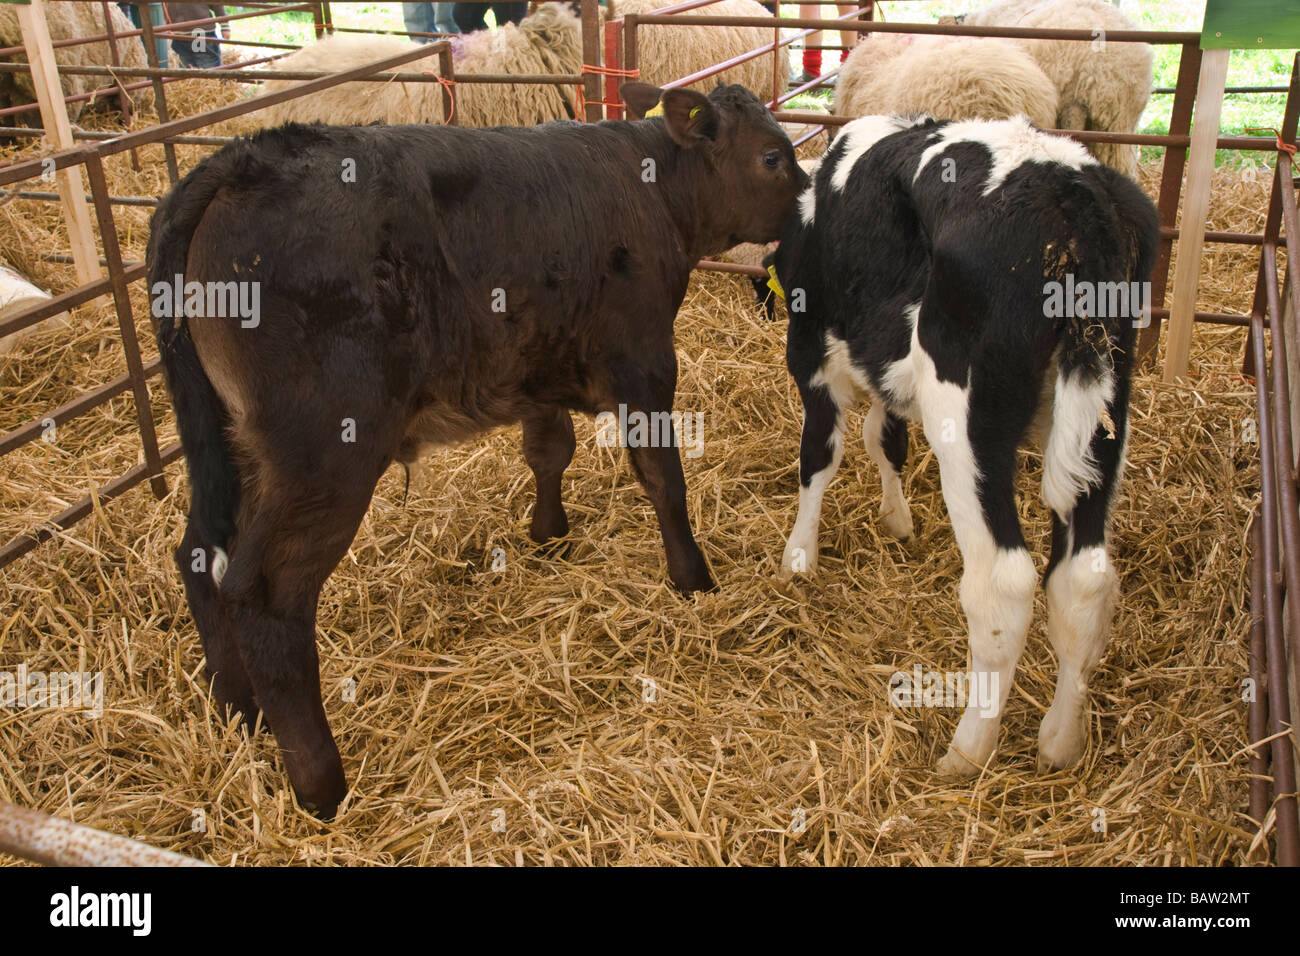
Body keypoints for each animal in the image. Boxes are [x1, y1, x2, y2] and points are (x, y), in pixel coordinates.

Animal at [769, 113, 1159, 780]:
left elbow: (821, 454)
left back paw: (968, 748)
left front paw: (800, 554)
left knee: (1004, 583)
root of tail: (1071, 190)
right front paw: (896, 518)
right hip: (1108, 414)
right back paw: (1061, 742)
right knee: (1082, 579)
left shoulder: (814, 355)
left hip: (965, 420)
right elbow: (884, 436)